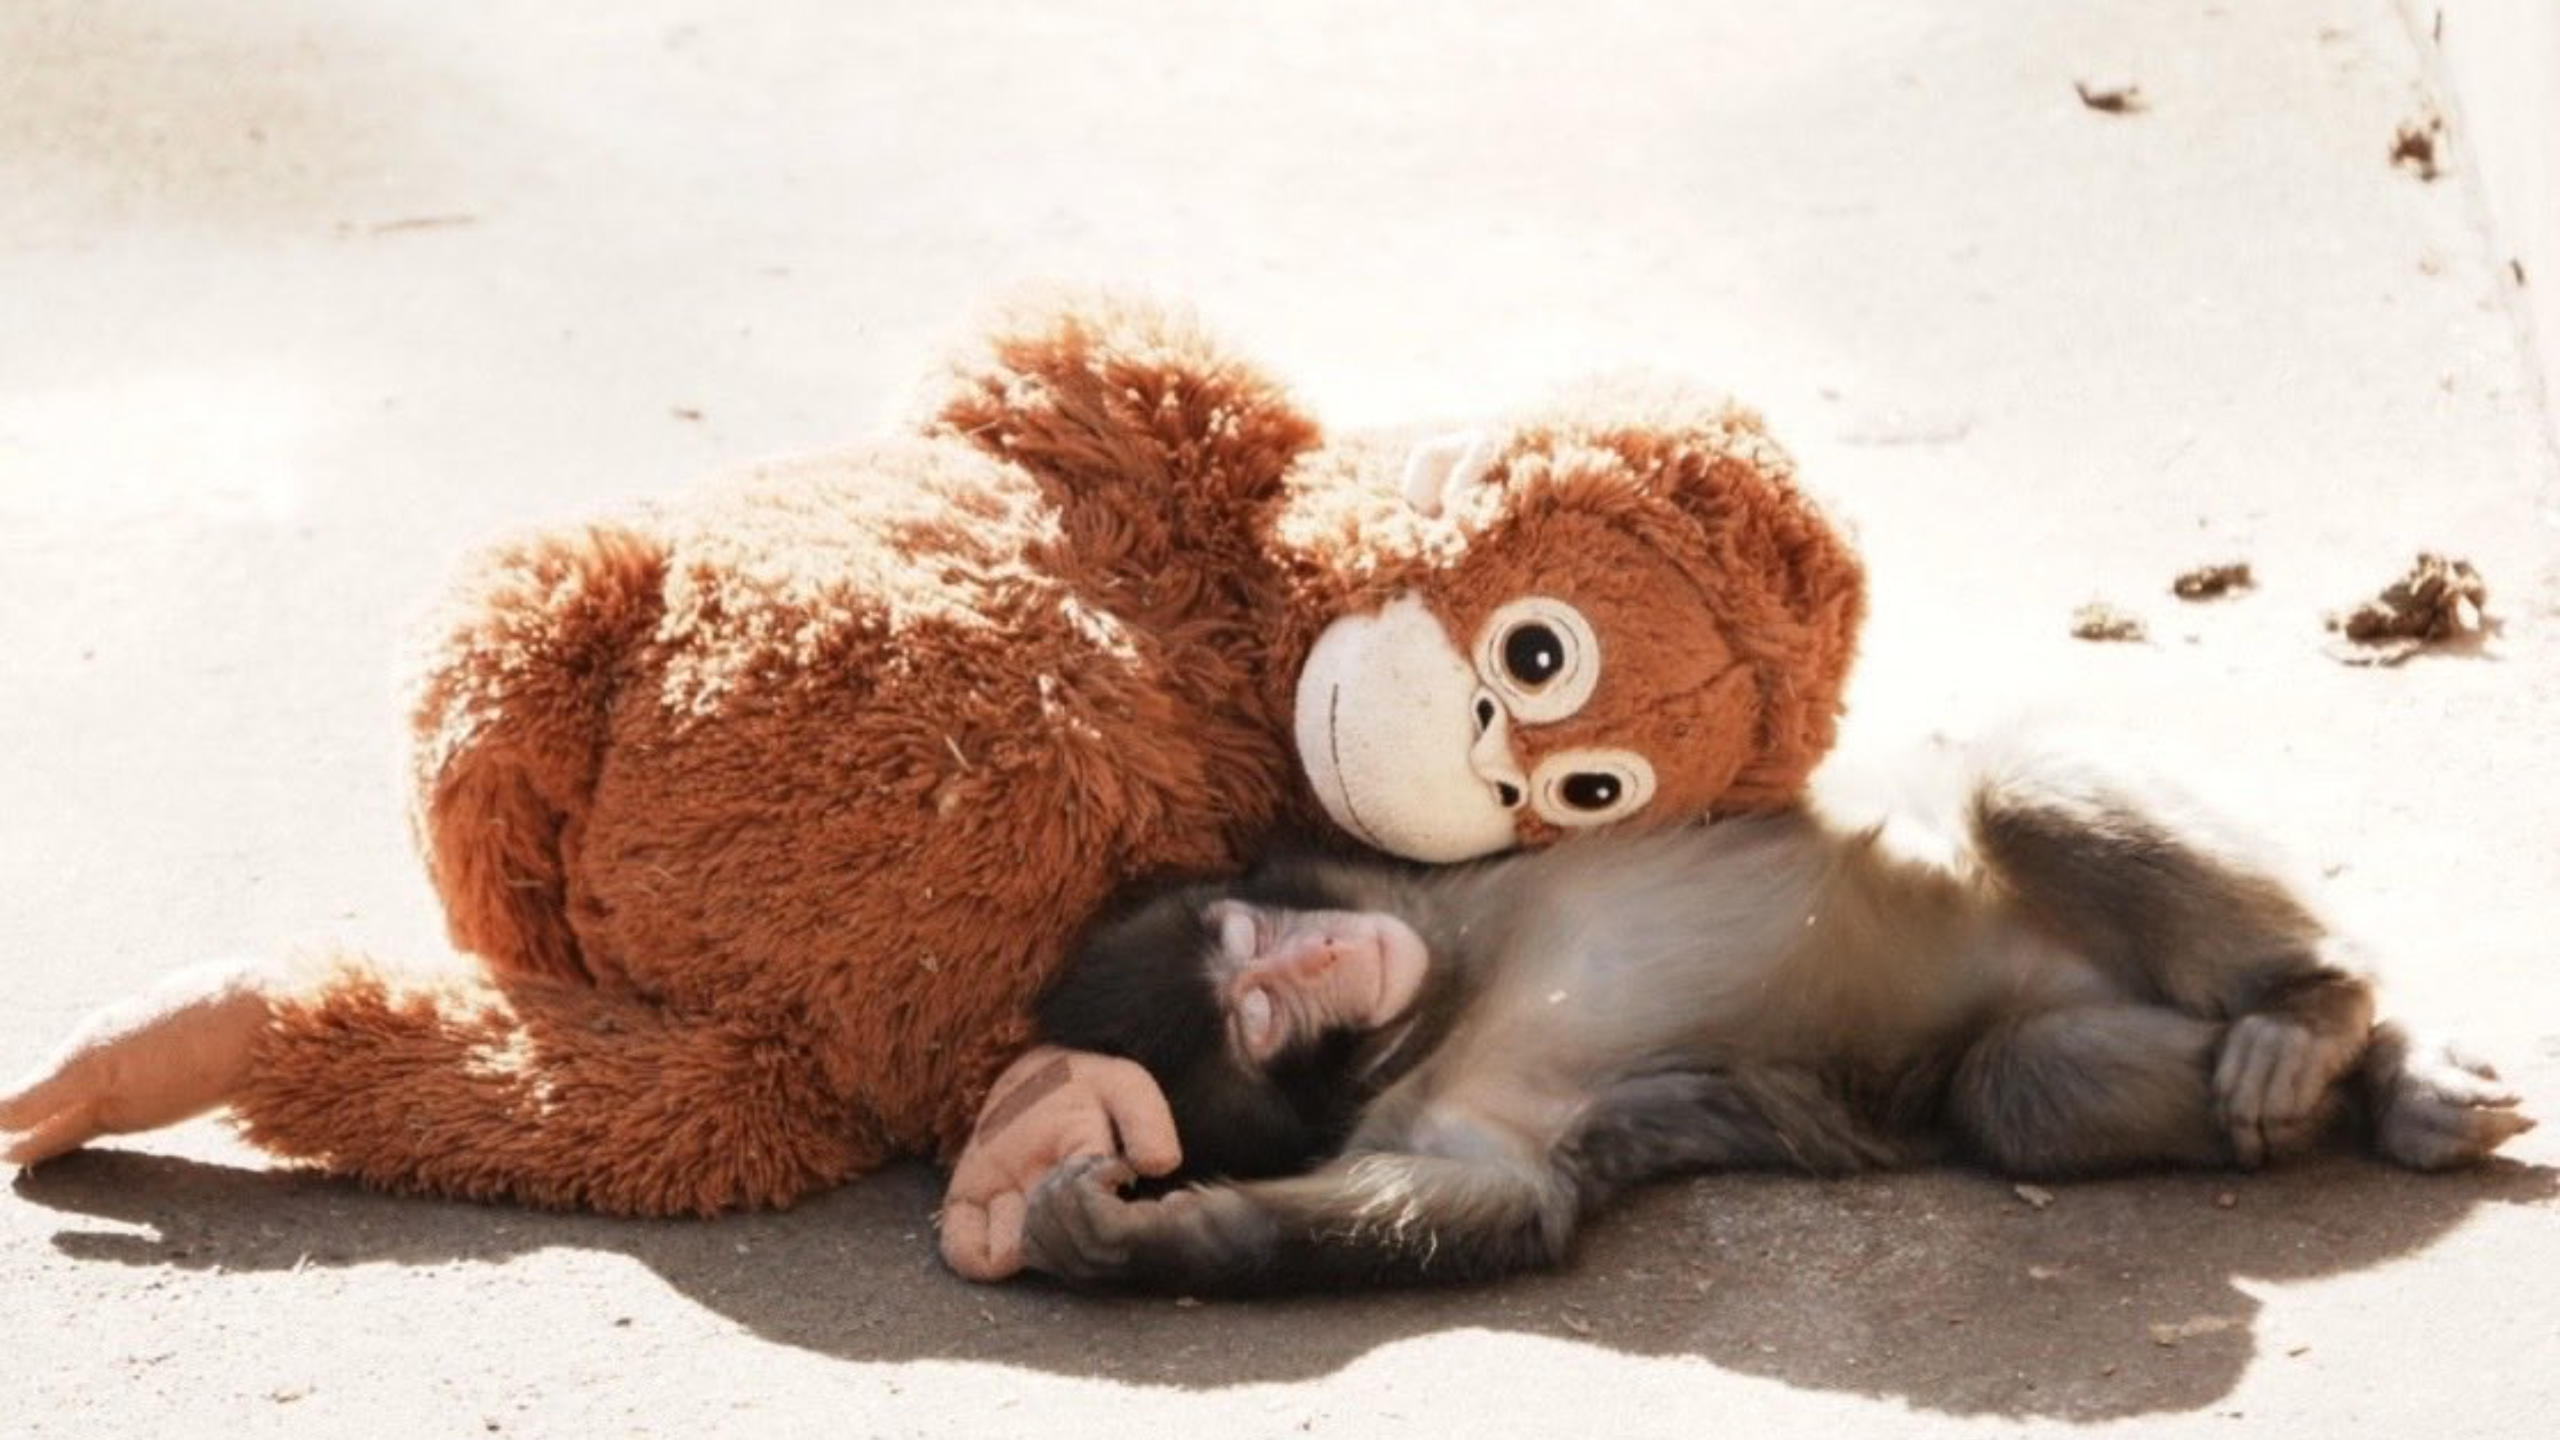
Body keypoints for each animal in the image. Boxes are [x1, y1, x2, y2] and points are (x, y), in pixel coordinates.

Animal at [1006, 734, 2535, 1294]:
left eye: (1256, 942)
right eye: (1257, 1009)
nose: (1329, 956)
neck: (1444, 994)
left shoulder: (1409, 872)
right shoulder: (1443, 1115)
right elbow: (1498, 1204)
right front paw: (1141, 1239)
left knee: (2006, 791)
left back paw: (2328, 1010)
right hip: (2059, 1028)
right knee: (2016, 1089)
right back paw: (2355, 1068)